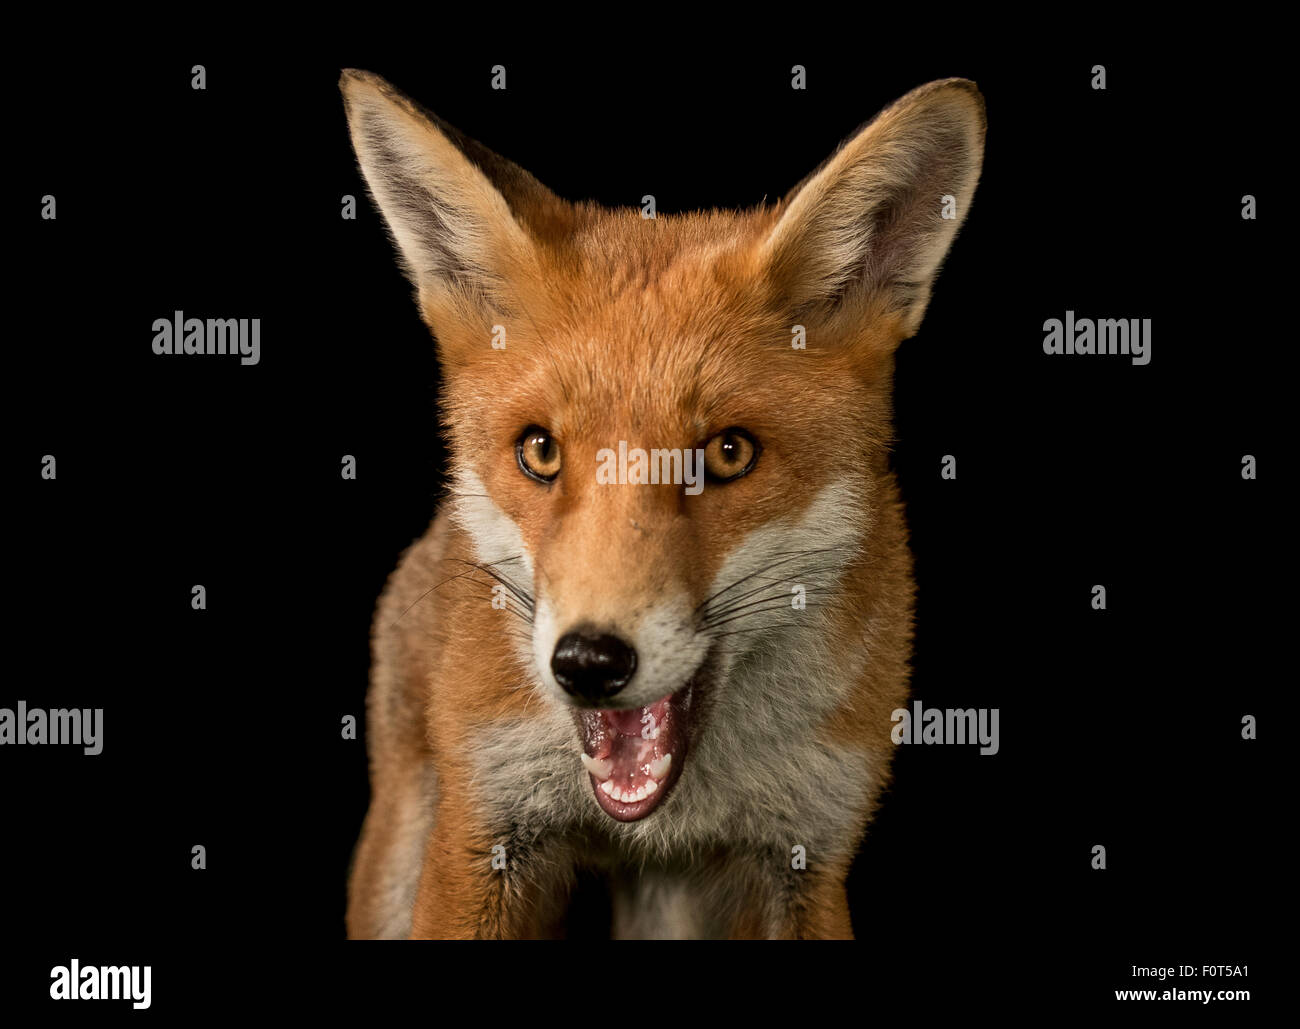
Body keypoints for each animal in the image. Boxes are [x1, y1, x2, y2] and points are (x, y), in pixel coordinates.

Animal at [340, 69, 985, 939]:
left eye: (728, 453)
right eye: (540, 451)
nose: (587, 663)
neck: (664, 811)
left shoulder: (805, 849)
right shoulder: (483, 830)